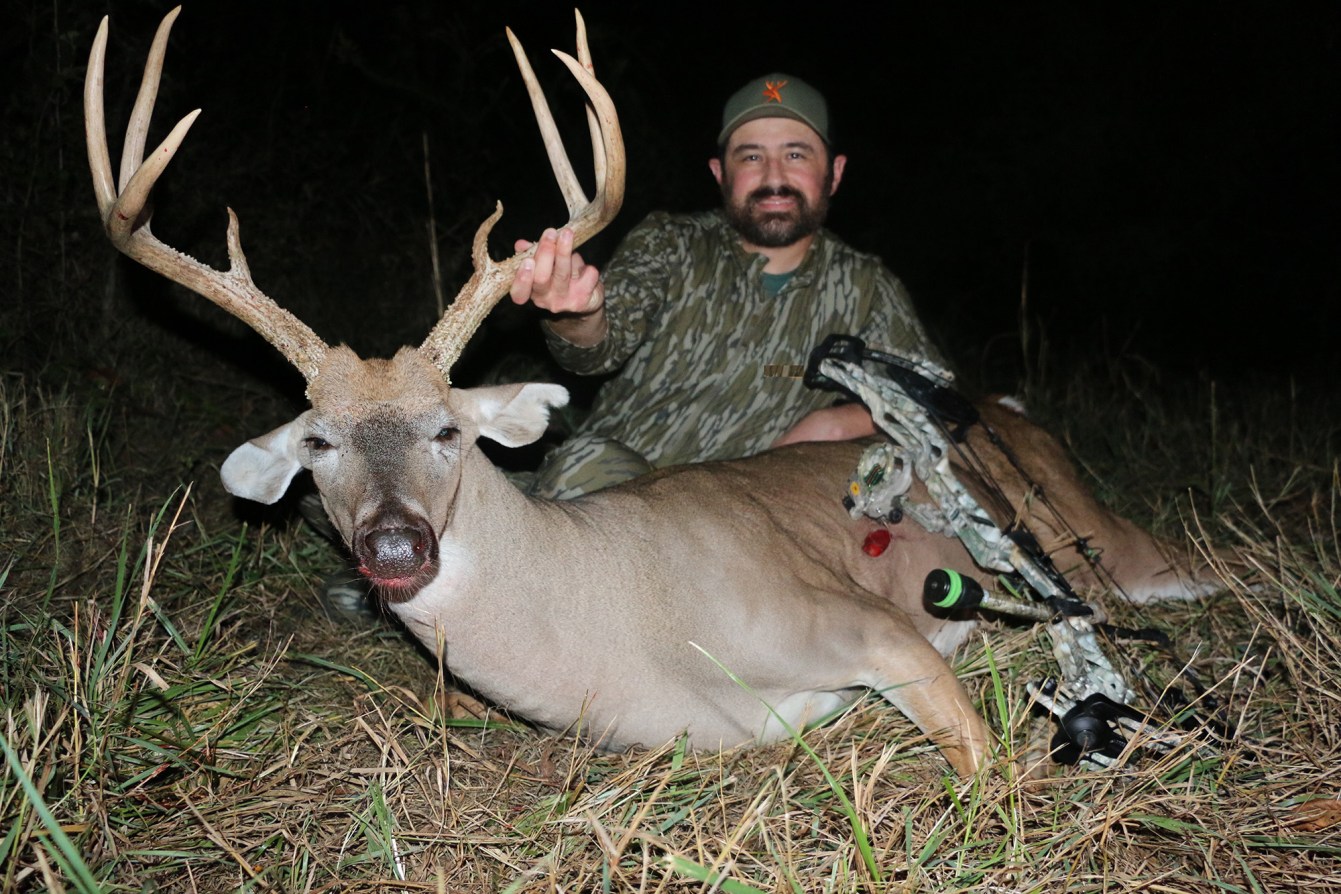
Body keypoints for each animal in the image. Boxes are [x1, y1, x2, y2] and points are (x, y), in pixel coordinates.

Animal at [86, 8, 1215, 779]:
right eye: (318, 443)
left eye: (449, 430)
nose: (395, 547)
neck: (631, 622)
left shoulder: (863, 624)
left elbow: (986, 771)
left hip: (1115, 550)